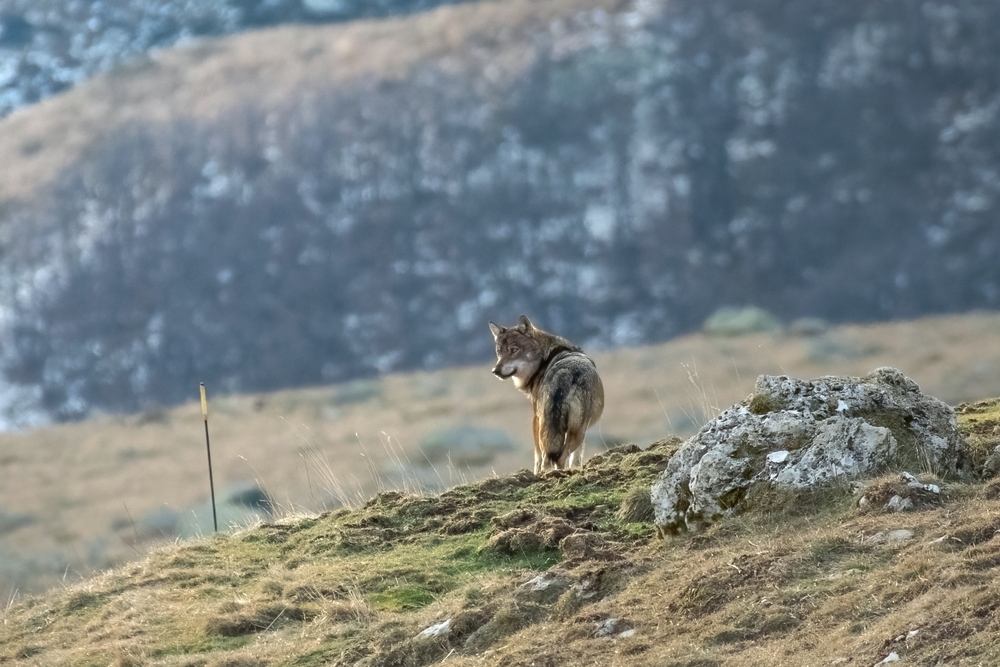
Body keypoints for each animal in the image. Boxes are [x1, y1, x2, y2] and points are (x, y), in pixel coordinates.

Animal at [489, 315, 604, 475]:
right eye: (499, 352)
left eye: (513, 350)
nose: (495, 371)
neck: (545, 358)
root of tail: (564, 374)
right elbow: (575, 457)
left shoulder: (535, 418)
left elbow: (538, 457)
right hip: (575, 432)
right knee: (559, 456)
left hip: (553, 429)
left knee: (550, 459)